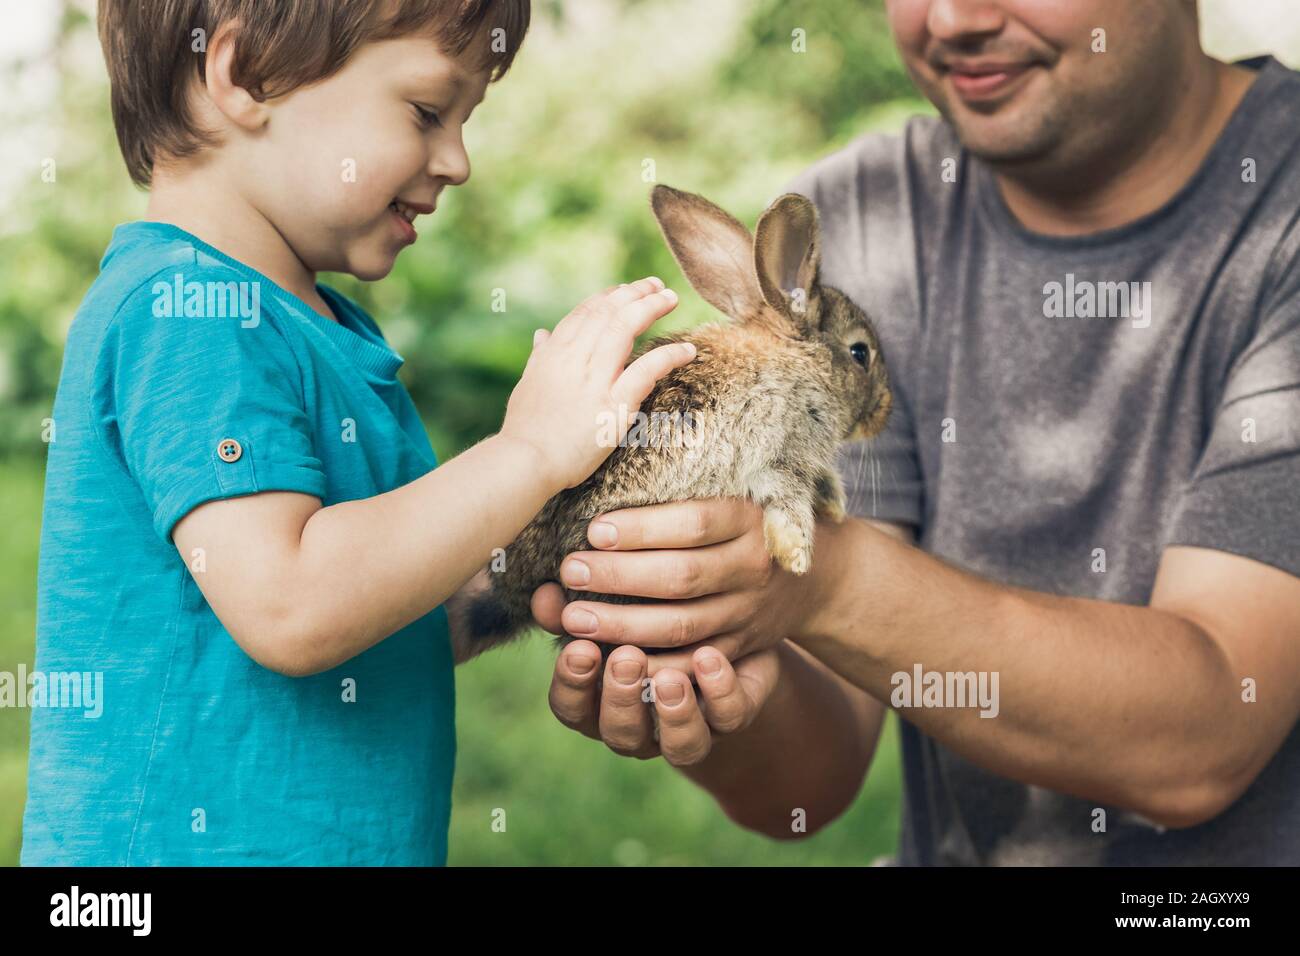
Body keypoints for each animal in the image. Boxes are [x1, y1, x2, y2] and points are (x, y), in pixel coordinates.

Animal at [453, 184, 892, 661]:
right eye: (860, 353)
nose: (885, 410)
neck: (796, 360)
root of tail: (518, 594)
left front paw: (831, 504)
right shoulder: (777, 444)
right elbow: (786, 493)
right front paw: (796, 554)